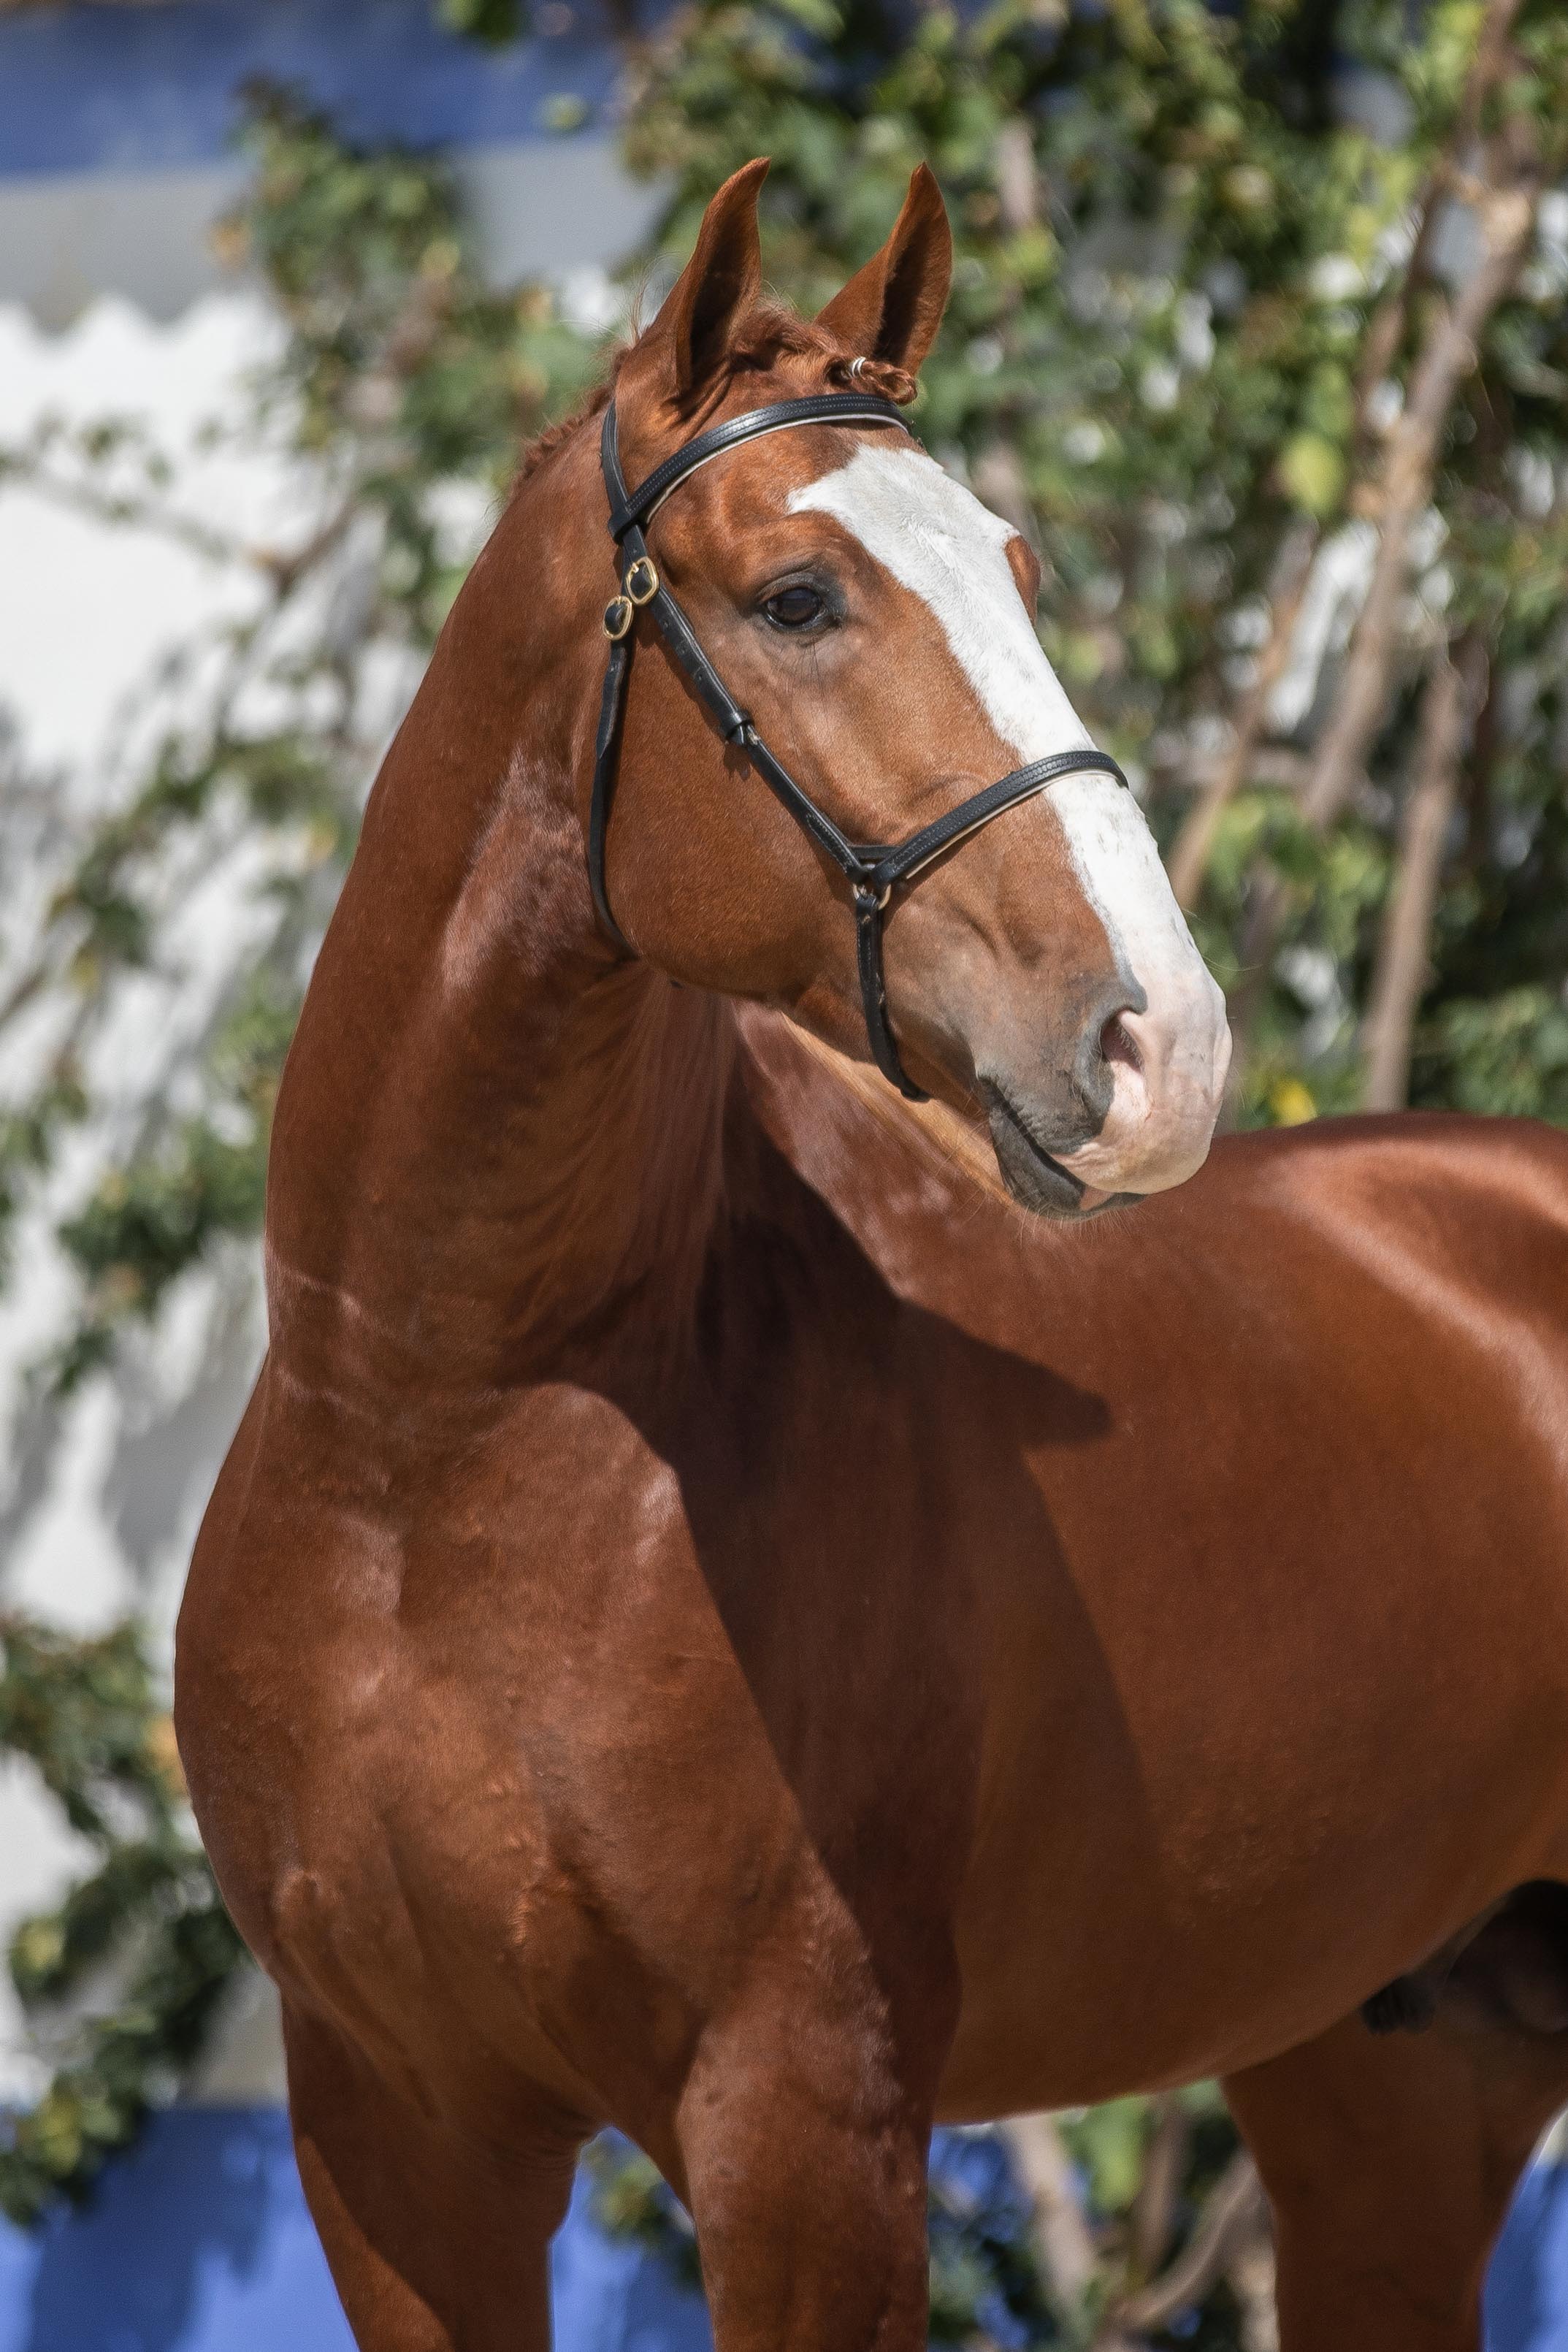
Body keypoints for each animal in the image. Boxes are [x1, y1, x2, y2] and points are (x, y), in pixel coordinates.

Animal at [175, 158, 1568, 2352]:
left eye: (1014, 563)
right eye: (798, 599)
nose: (1160, 1040)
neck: (437, 1439)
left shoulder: (803, 2128)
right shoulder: (391, 2144)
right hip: (1392, 2090)